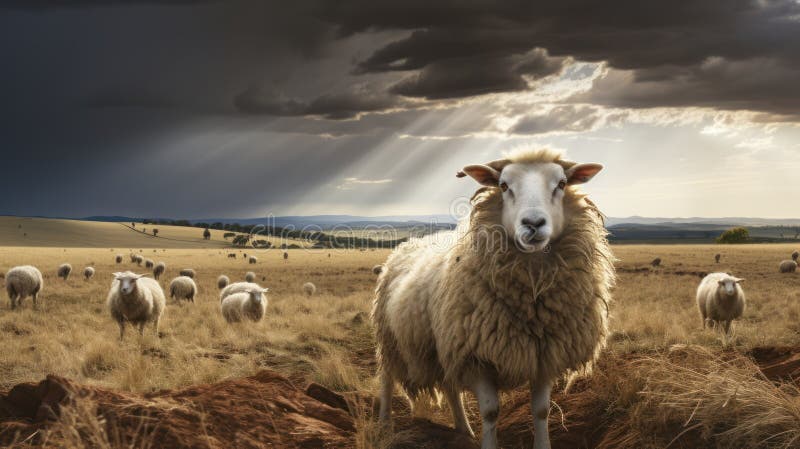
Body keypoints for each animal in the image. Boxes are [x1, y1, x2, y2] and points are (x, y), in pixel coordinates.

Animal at [373, 149, 613, 449]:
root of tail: (408, 244)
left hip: (443, 345)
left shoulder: (544, 355)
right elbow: (490, 412)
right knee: (386, 379)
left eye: (561, 184)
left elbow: (541, 410)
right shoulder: (476, 357)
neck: (532, 300)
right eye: (503, 185)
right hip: (390, 339)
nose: (533, 224)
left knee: (450, 388)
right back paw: (385, 423)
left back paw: (464, 430)